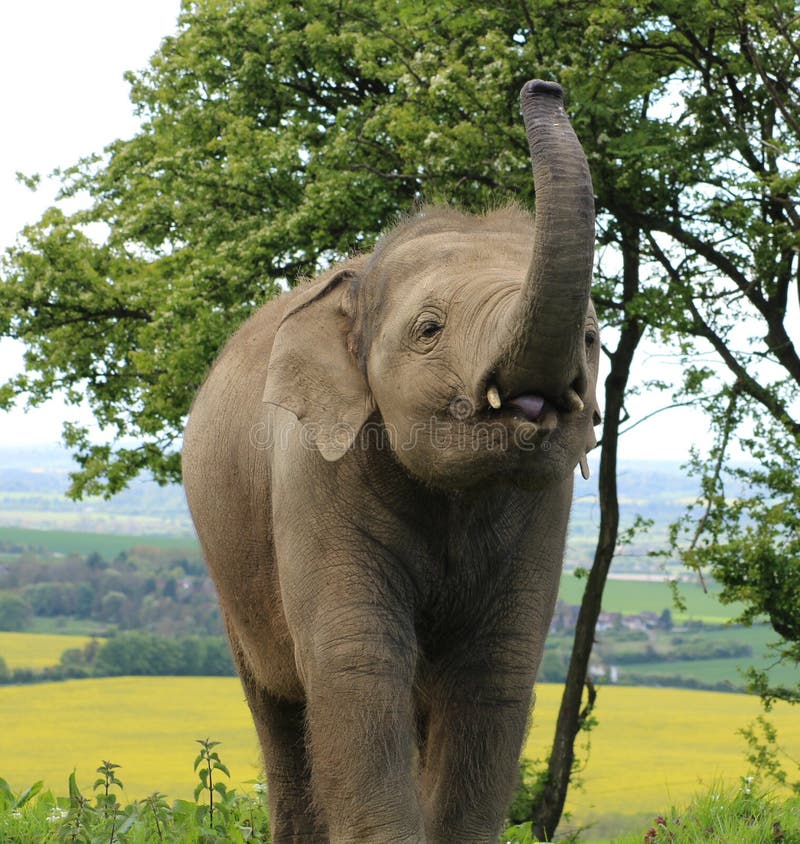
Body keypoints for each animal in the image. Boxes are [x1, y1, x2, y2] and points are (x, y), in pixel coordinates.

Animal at [182, 79, 600, 844]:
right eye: (429, 330)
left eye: (589, 336)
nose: (542, 86)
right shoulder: (313, 472)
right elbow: (356, 663)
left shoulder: (545, 507)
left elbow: (494, 670)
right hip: (229, 567)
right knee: (277, 703)